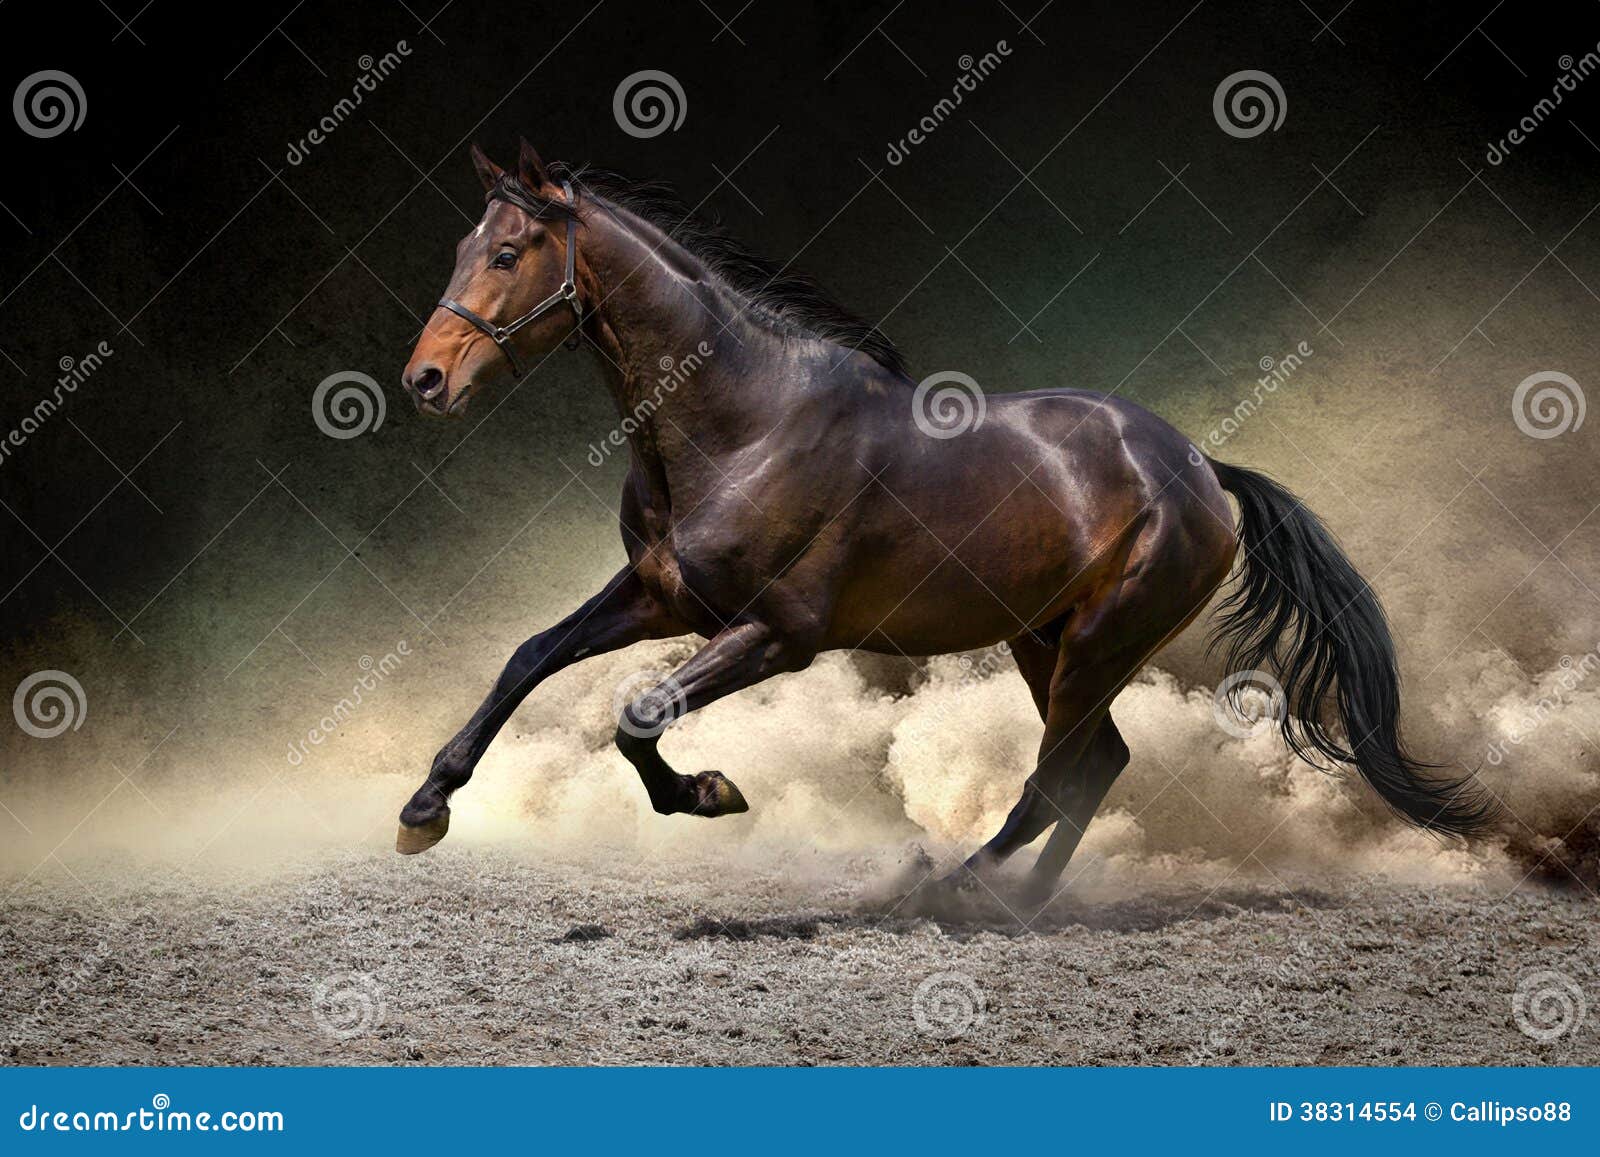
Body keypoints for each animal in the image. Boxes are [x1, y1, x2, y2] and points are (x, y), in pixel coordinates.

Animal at [394, 140, 1493, 896]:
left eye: (506, 252)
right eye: (461, 246)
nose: (424, 379)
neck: (741, 422)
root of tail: (1197, 468)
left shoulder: (778, 634)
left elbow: (637, 715)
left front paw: (709, 792)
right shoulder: (664, 597)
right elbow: (532, 656)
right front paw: (424, 807)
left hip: (1099, 642)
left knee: (1060, 775)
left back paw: (957, 889)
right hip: (1044, 640)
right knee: (1096, 765)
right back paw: (1027, 904)